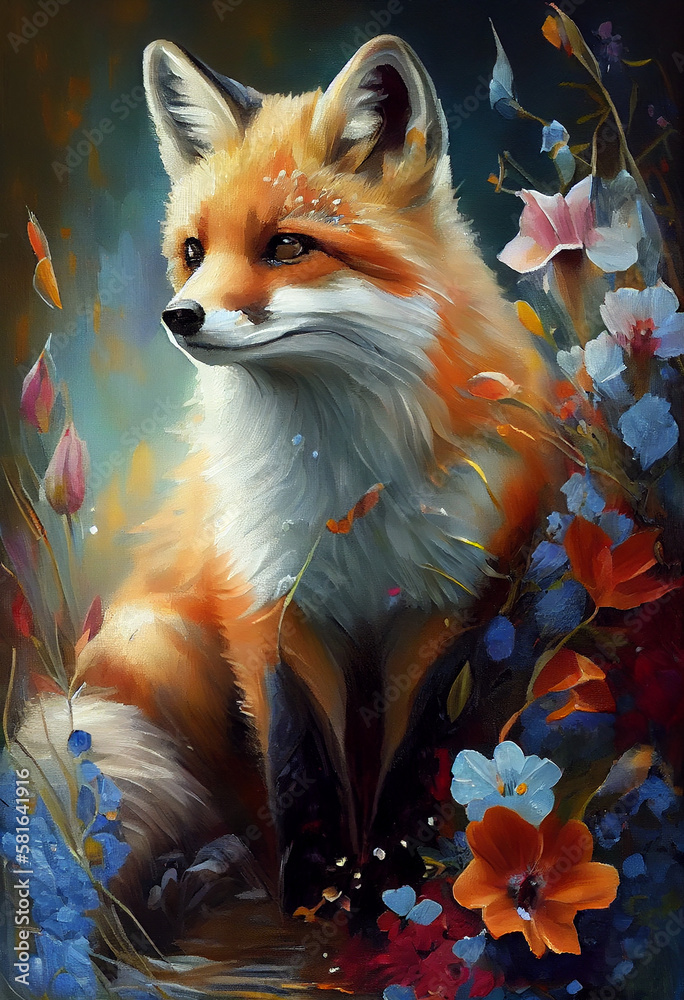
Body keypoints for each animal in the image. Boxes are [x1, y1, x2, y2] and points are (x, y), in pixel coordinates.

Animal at [20, 35, 562, 913]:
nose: (178, 317)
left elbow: (421, 753)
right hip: (157, 650)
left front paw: (396, 878)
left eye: (286, 246)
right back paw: (204, 867)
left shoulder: (449, 602)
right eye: (194, 252)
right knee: (200, 801)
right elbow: (300, 764)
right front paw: (317, 888)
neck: (348, 485)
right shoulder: (267, 600)